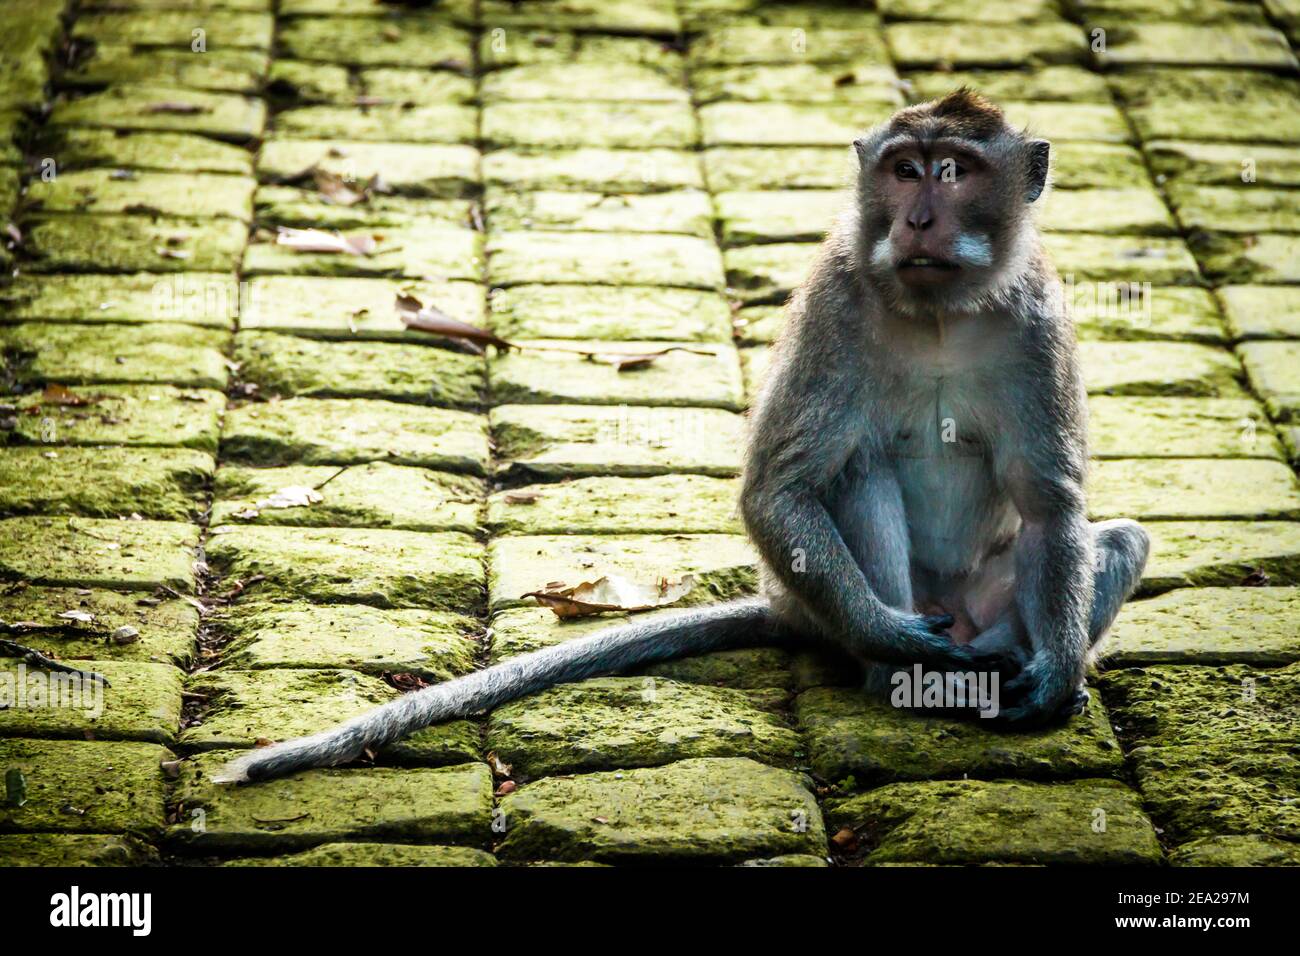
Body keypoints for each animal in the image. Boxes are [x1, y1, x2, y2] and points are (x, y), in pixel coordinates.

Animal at [215, 89, 1150, 784]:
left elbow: (1050, 501)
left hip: (977, 602)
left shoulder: (1038, 317)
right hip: (845, 601)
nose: (917, 220)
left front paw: (1057, 676)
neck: (941, 311)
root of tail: (790, 608)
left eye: (953, 171)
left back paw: (1003, 665)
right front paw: (896, 641)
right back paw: (907, 674)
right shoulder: (836, 298)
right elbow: (780, 487)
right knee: (852, 469)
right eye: (904, 169)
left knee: (1120, 541)